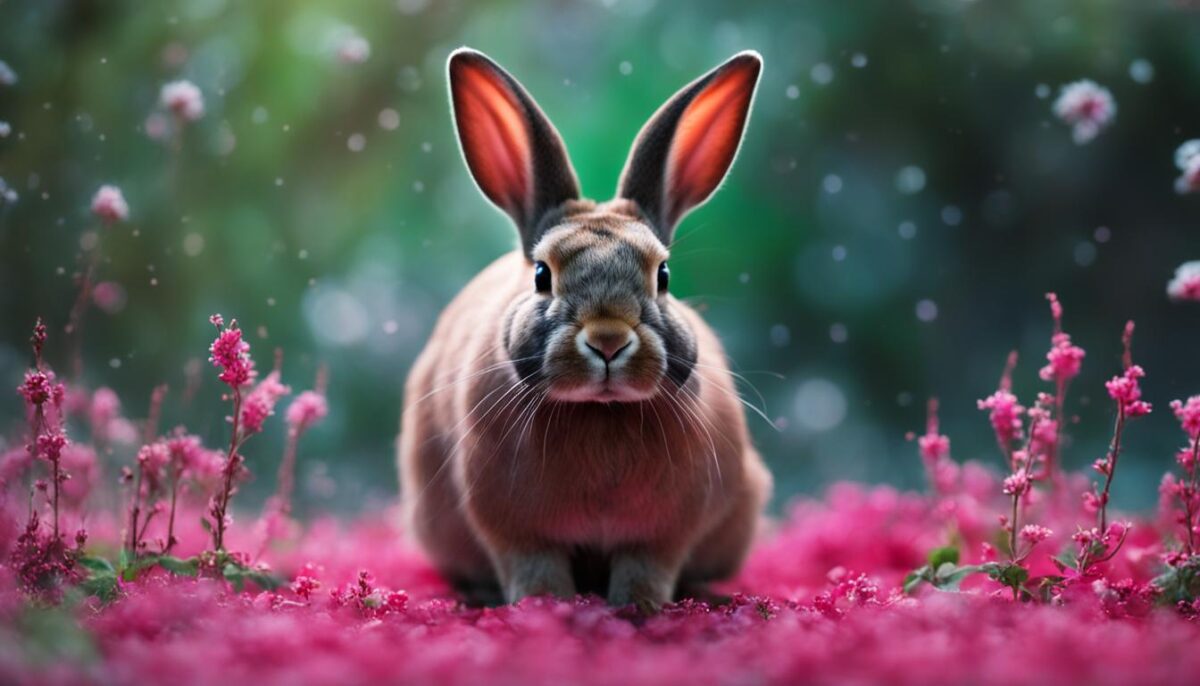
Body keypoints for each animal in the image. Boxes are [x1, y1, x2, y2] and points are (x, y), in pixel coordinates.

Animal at [399, 47, 772, 613]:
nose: (608, 340)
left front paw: (638, 609)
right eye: (541, 275)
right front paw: (544, 607)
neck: (601, 413)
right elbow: (535, 568)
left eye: (663, 276)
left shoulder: (662, 536)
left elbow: (646, 571)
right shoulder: (515, 532)